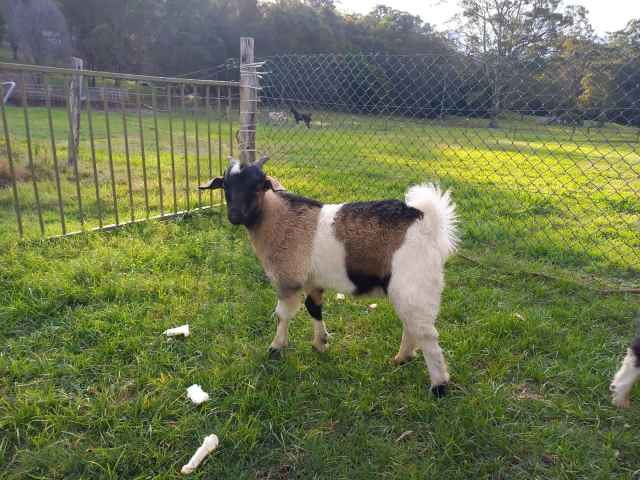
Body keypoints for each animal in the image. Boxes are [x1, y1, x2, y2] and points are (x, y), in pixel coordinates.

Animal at [199, 156, 457, 395]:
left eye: (257, 185)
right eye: (226, 186)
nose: (234, 215)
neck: (277, 219)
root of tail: (426, 221)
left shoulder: (287, 279)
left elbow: (282, 315)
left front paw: (276, 347)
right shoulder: (313, 281)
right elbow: (313, 307)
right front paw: (320, 343)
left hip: (414, 283)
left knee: (426, 334)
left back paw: (438, 385)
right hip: (408, 289)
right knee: (412, 325)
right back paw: (402, 358)